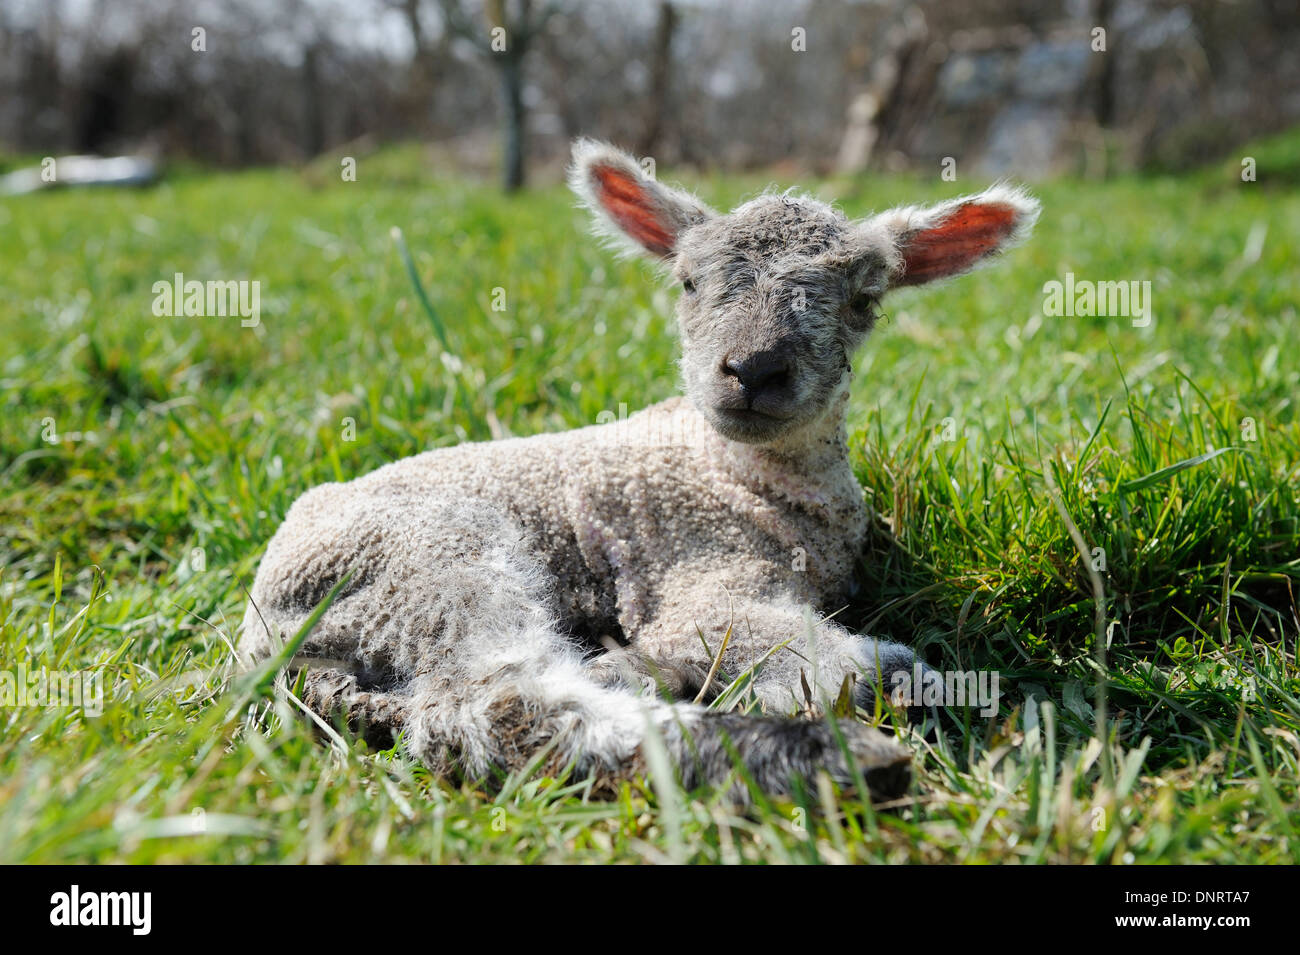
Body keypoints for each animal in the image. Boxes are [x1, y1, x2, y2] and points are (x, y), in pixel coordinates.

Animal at [237, 139, 1039, 802]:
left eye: (864, 299)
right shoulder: (700, 575)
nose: (754, 370)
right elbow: (855, 664)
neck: (740, 479)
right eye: (687, 283)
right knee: (499, 705)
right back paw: (822, 758)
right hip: (430, 561)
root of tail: (263, 632)